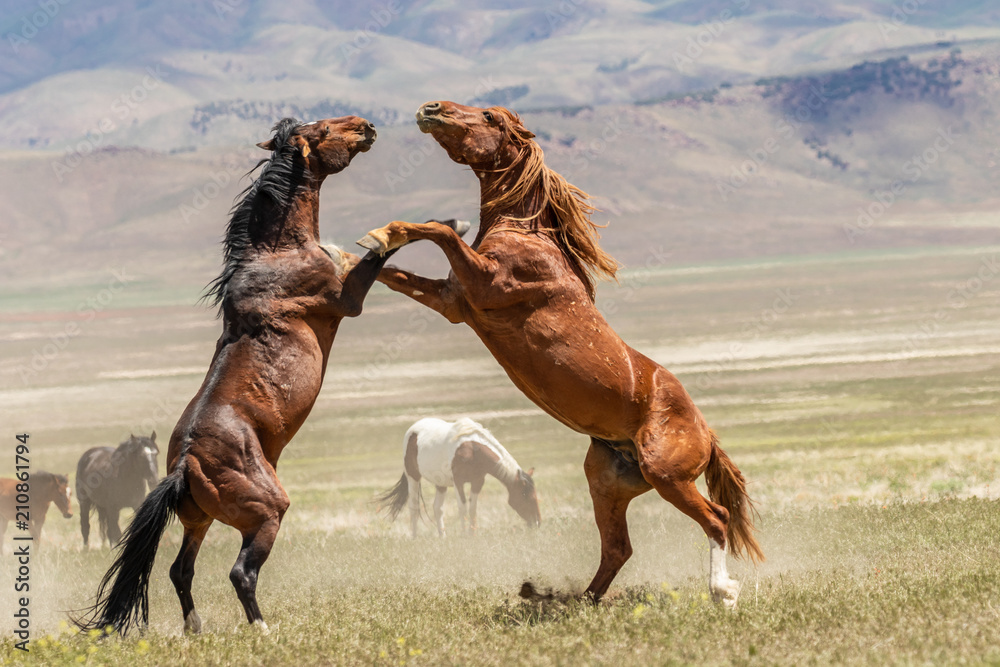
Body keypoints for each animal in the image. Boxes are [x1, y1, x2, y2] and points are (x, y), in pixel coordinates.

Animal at [75, 115, 445, 636]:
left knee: (180, 570)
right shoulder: (347, 299)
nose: (366, 125)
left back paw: (196, 628)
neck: (276, 253)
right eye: (324, 128)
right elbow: (378, 255)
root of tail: (183, 467)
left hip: (199, 520)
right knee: (240, 572)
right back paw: (262, 629)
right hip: (266, 512)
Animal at [377, 417, 540, 537]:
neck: (473, 449)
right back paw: (414, 537)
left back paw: (442, 537)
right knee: (414, 507)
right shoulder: (458, 482)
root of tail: (413, 429)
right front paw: (464, 535)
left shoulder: (478, 482)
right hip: (413, 478)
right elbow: (462, 507)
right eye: (527, 497)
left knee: (438, 508)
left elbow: (472, 508)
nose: (537, 522)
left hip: (440, 483)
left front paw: (472, 535)